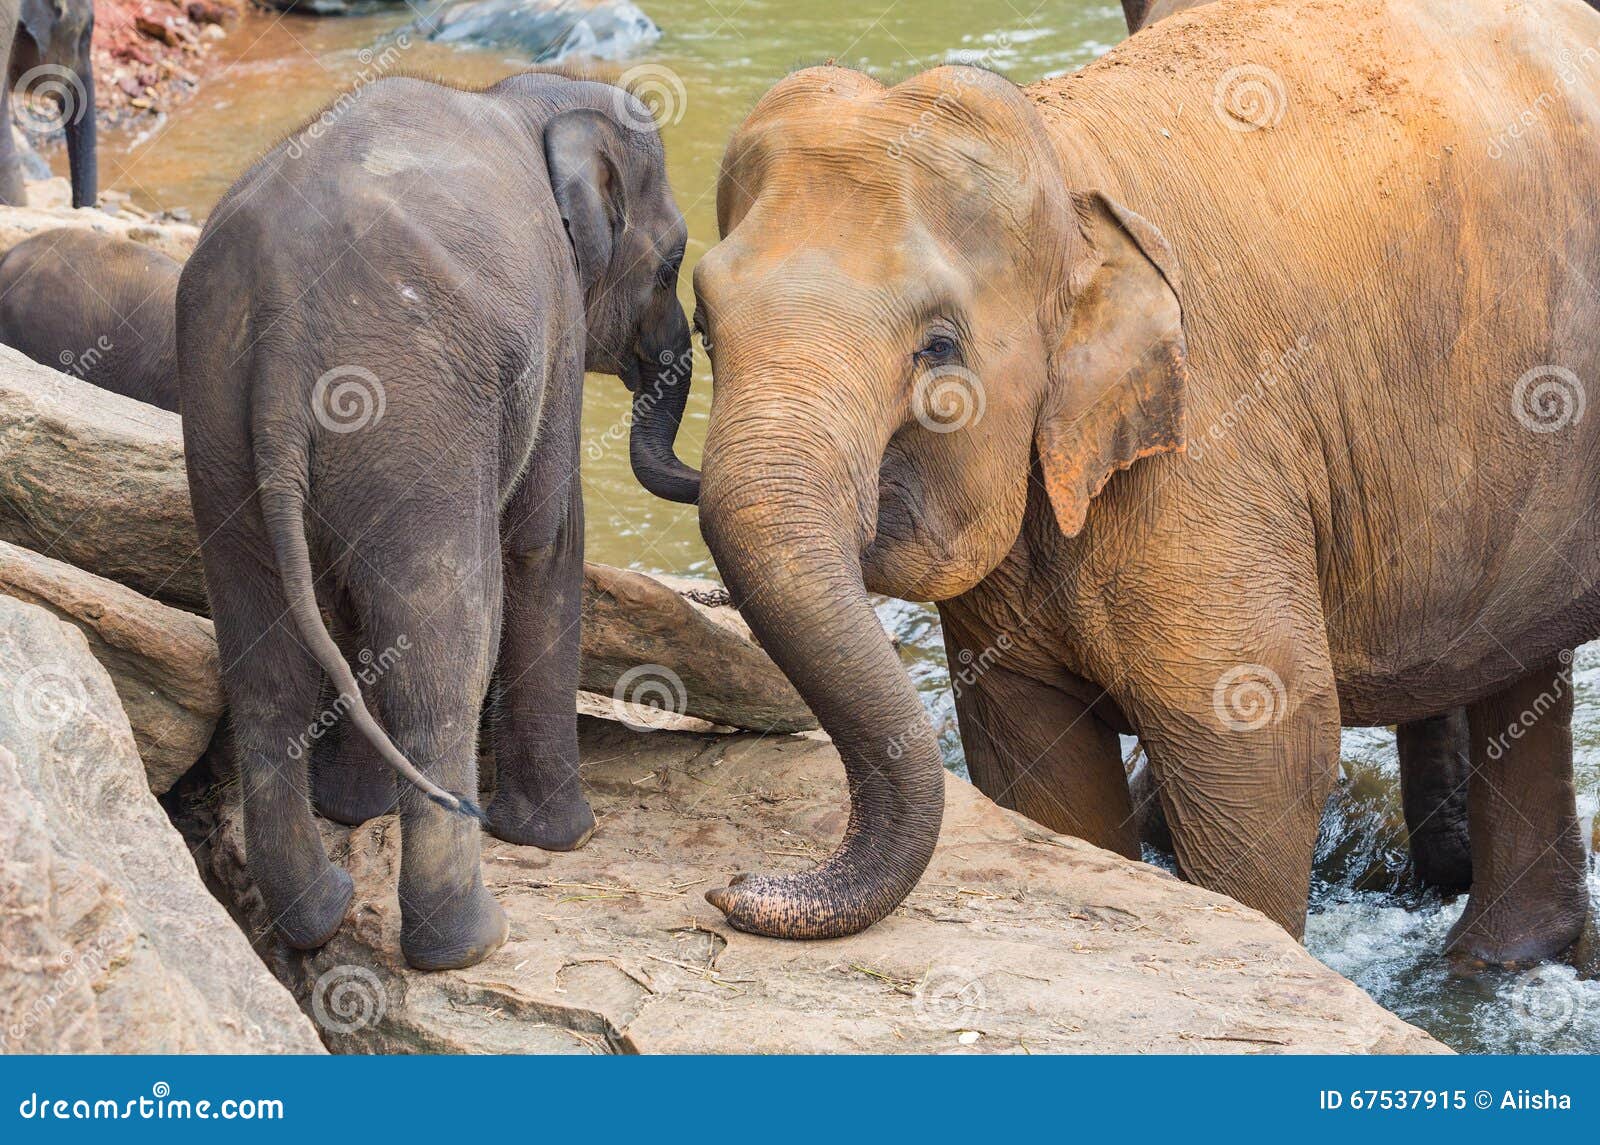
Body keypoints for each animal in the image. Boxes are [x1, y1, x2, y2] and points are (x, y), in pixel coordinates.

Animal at [177, 69, 698, 970]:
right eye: (672, 263)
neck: (521, 102)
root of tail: (277, 306)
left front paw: (357, 810)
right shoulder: (555, 325)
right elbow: (544, 539)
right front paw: (565, 838)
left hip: (221, 425)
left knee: (266, 659)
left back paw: (317, 912)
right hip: (412, 411)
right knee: (445, 642)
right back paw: (470, 939)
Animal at [689, 0, 1598, 968]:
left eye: (937, 347)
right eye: (702, 325)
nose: (732, 885)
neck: (1066, 162)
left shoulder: (1216, 444)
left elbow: (1261, 735)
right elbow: (1033, 745)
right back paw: (1500, 955)